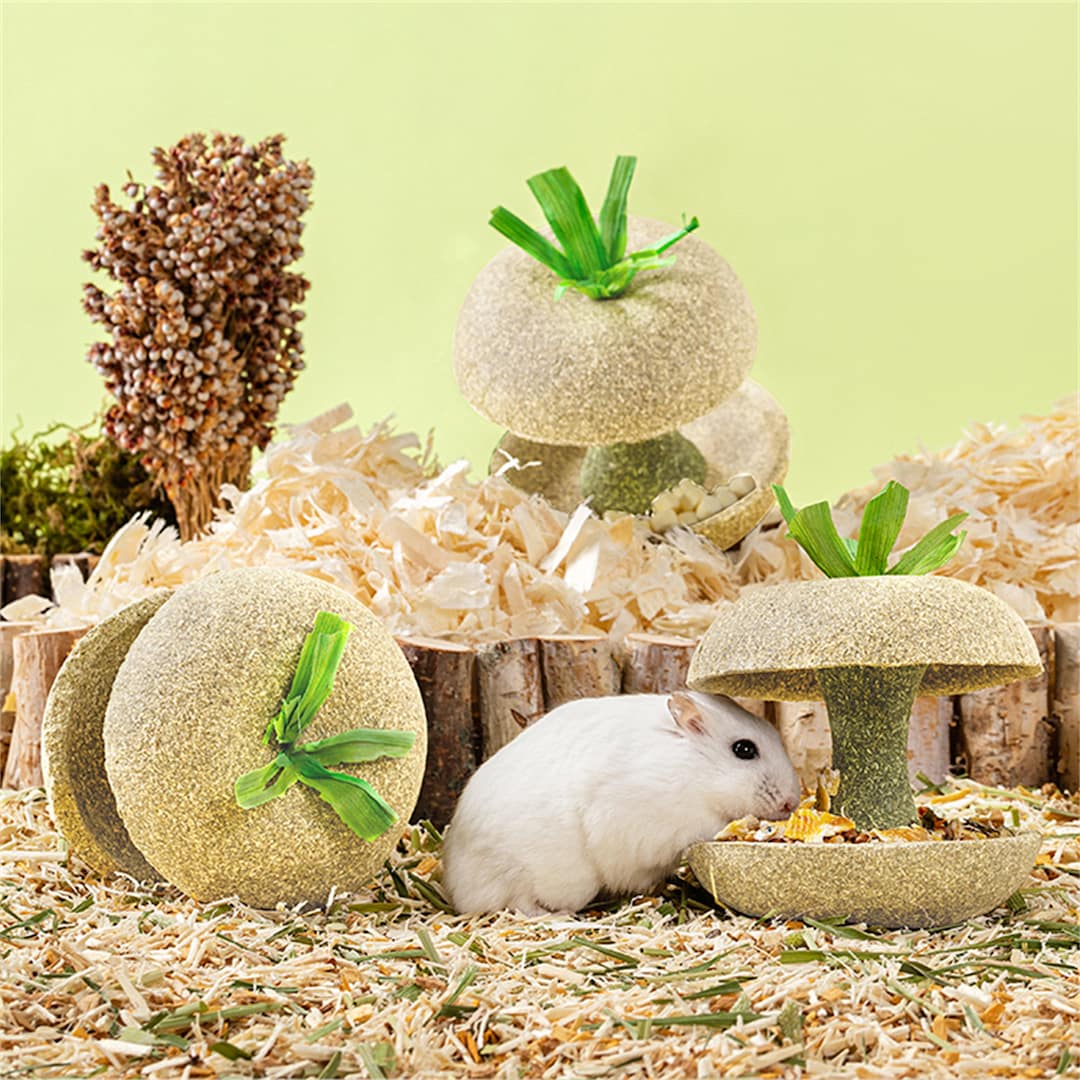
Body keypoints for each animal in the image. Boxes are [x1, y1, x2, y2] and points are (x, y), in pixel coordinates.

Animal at [441, 691, 801, 916]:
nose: (791, 803)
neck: (692, 772)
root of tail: (453, 886)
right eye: (744, 749)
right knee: (519, 903)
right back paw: (561, 916)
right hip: (533, 874)